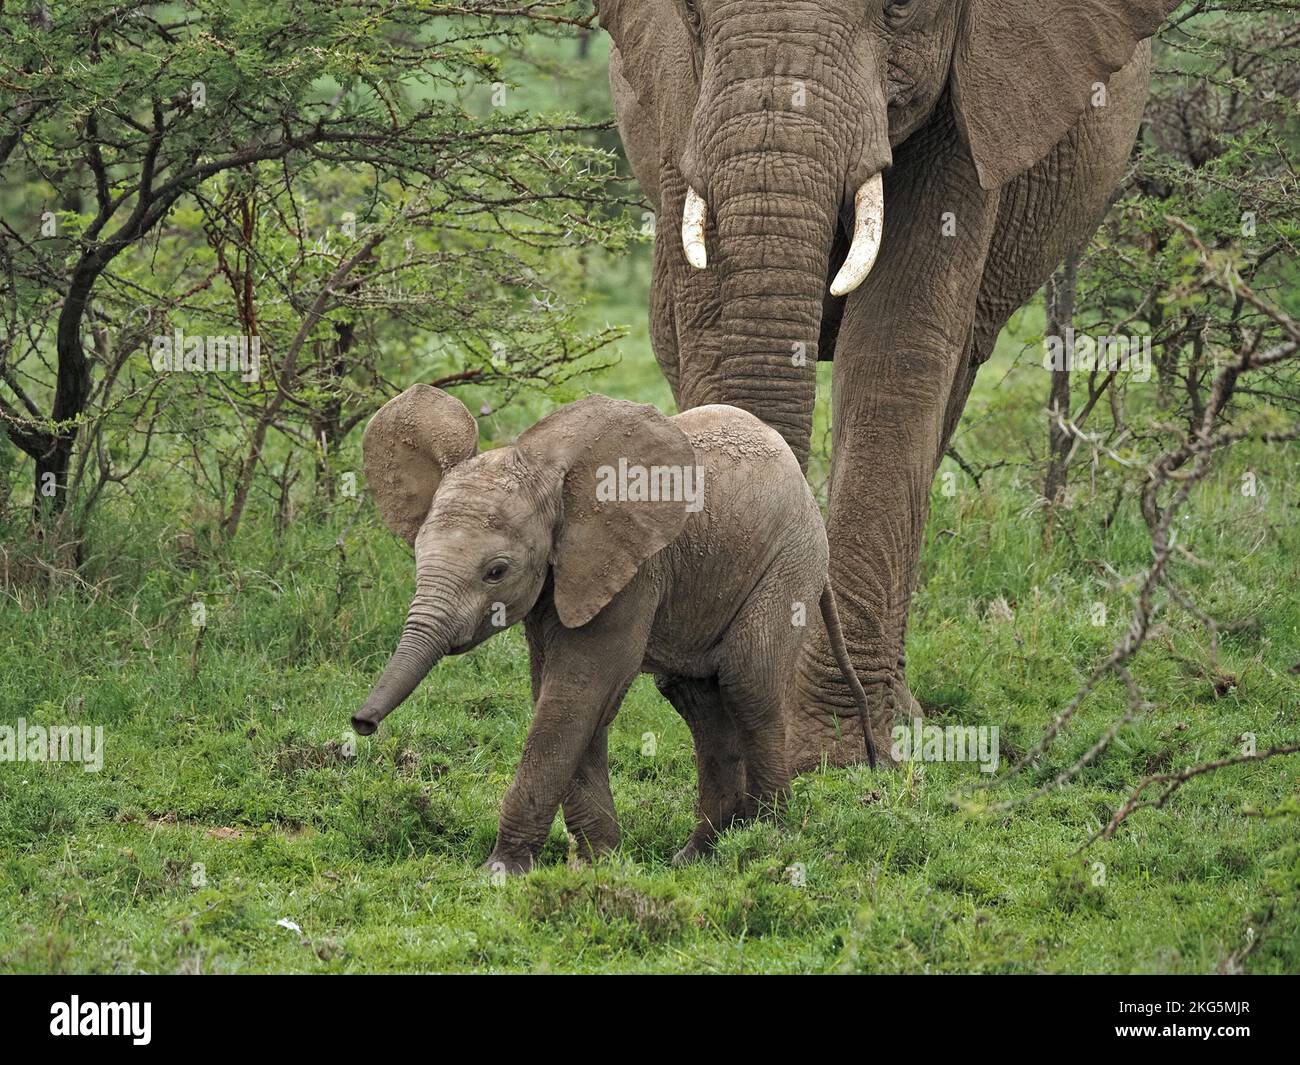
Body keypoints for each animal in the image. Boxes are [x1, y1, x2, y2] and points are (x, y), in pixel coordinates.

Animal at [351, 384, 876, 873]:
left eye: (496, 571)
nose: (361, 724)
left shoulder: (633, 568)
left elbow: (579, 688)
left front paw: (503, 871)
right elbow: (563, 695)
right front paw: (599, 861)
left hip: (790, 557)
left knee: (748, 682)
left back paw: (769, 842)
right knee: (696, 699)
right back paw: (699, 857)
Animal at [594, 0, 1182, 771]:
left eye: (900, 9)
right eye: (690, 13)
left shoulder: (972, 109)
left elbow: (896, 342)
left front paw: (839, 747)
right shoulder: (681, 110)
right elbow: (712, 327)